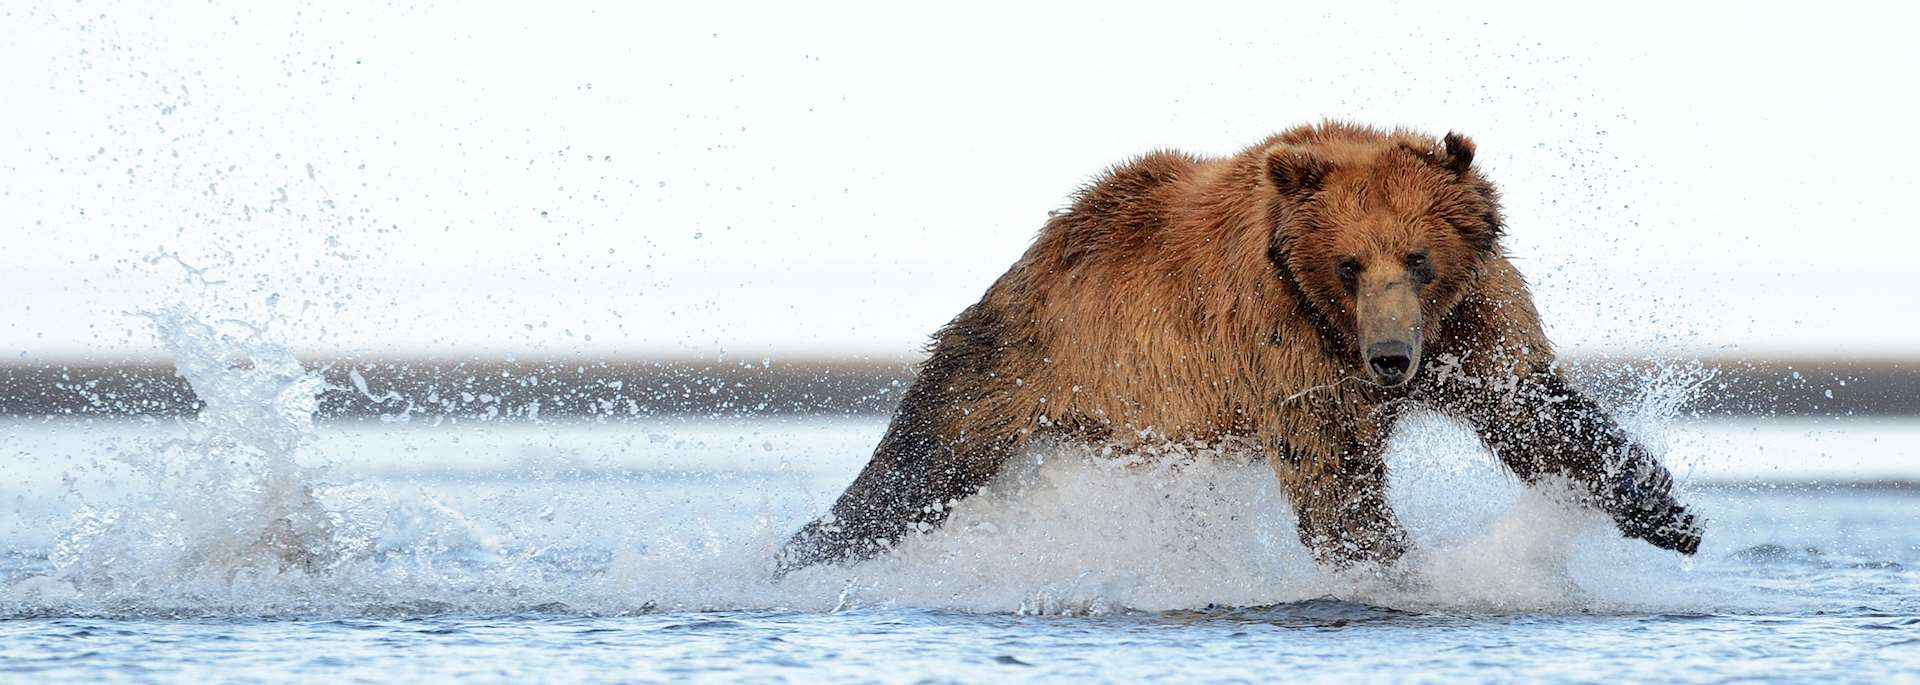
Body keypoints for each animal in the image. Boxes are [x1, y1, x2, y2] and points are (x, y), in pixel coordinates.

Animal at [777, 122, 1701, 574]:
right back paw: (799, 548)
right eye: (1348, 262)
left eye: (1419, 255)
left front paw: (1672, 515)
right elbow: (1334, 476)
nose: (1391, 359)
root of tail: (1053, 236)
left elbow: (1535, 414)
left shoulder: (1473, 320)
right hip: (1030, 356)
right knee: (922, 458)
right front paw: (1406, 569)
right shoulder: (1283, 340)